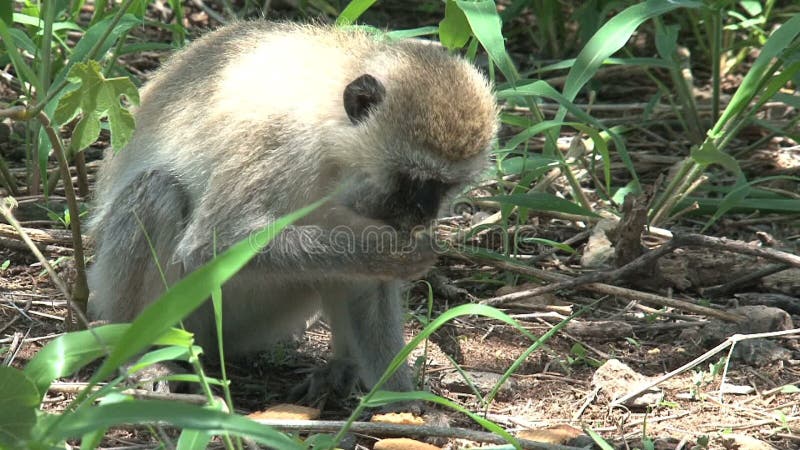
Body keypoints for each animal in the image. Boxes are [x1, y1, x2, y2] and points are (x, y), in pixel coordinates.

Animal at [87, 21, 498, 403]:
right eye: (411, 179)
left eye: (444, 186)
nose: (424, 214)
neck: (331, 142)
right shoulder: (274, 142)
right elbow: (214, 242)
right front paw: (388, 251)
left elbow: (367, 282)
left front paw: (403, 402)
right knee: (159, 190)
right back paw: (140, 354)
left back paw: (341, 368)